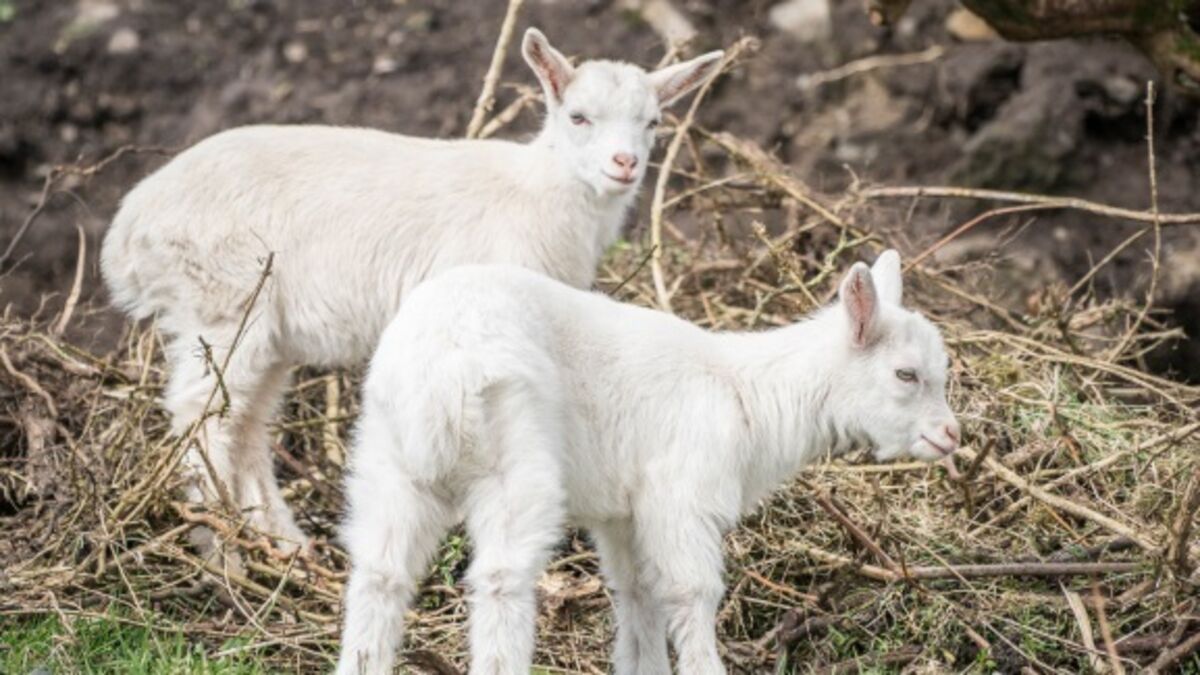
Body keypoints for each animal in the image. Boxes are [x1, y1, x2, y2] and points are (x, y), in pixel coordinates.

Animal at [99, 27, 724, 559]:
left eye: (653, 122)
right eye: (578, 117)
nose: (625, 163)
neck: (543, 193)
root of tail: (125, 235)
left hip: (261, 327)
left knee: (245, 423)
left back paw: (282, 544)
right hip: (223, 300)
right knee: (201, 416)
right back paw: (222, 550)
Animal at [337, 250, 961, 675]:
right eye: (907, 374)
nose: (951, 435)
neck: (748, 395)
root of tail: (437, 370)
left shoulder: (624, 513)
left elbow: (638, 594)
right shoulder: (681, 496)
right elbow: (691, 593)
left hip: (389, 460)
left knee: (379, 575)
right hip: (511, 457)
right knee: (499, 580)